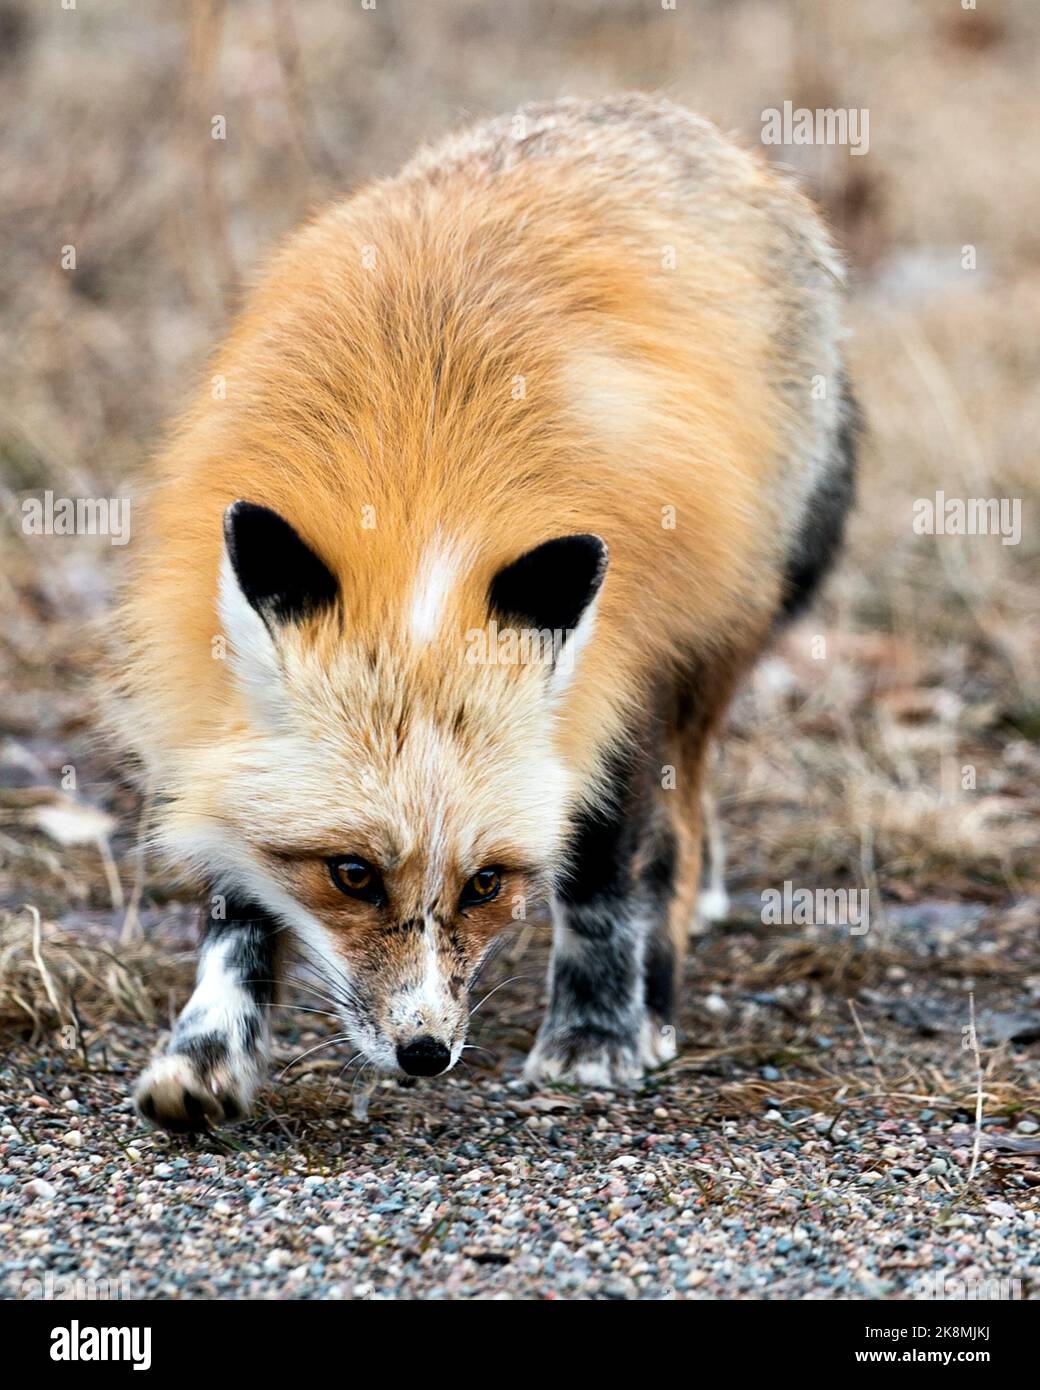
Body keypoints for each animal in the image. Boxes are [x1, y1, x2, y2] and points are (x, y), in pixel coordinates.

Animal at [112, 94, 856, 1131]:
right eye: (351, 874)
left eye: (485, 885)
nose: (425, 1054)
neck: (424, 507)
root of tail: (660, 116)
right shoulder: (217, 718)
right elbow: (238, 911)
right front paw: (209, 1050)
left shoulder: (616, 684)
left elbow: (603, 884)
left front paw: (595, 1034)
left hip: (708, 639)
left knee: (677, 838)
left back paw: (659, 991)